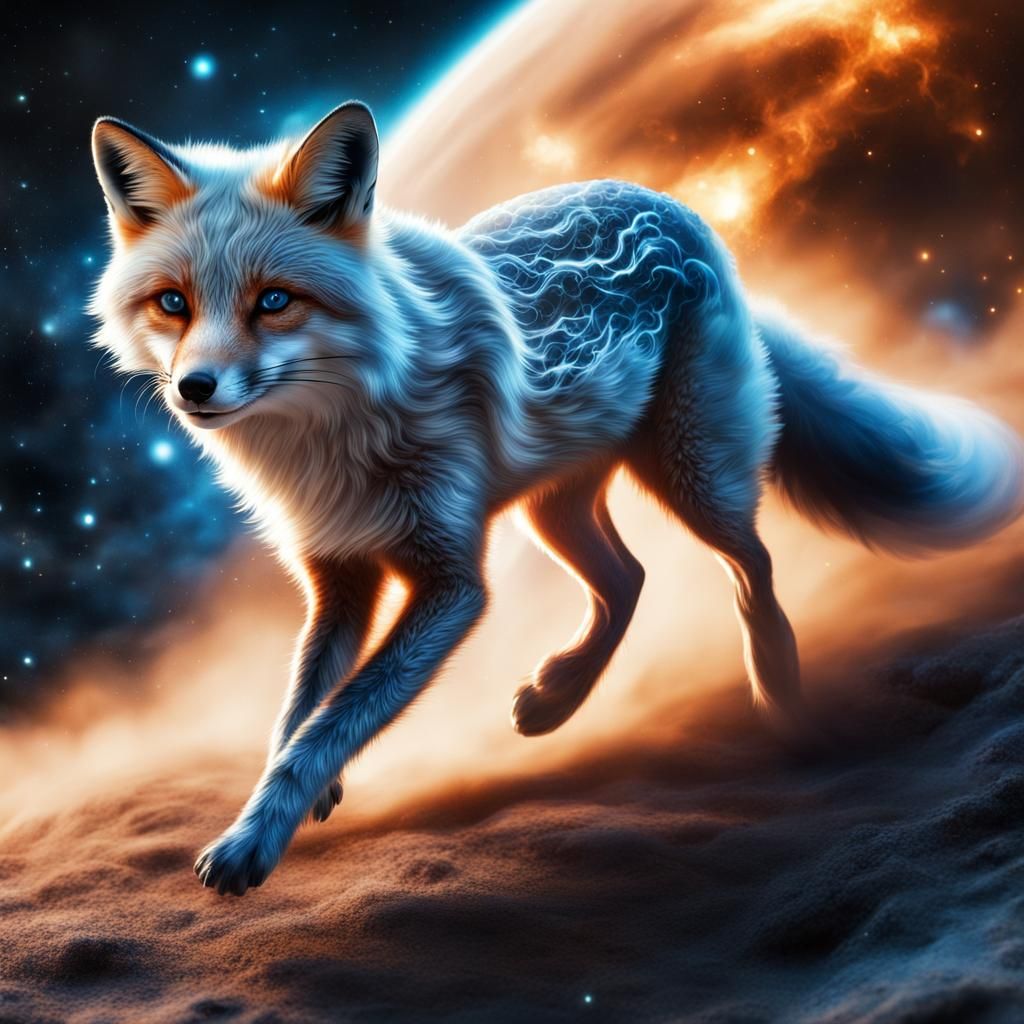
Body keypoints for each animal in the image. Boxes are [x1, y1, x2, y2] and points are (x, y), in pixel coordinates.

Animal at [89, 101, 1024, 895]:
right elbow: (297, 711)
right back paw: (559, 699)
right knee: (629, 579)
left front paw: (256, 838)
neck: (334, 438)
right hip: (554, 508)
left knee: (750, 565)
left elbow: (332, 719)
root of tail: (671, 205)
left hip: (695, 477)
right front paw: (291, 803)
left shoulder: (451, 582)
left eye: (274, 301)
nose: (195, 389)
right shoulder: (340, 575)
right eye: (173, 303)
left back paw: (779, 691)